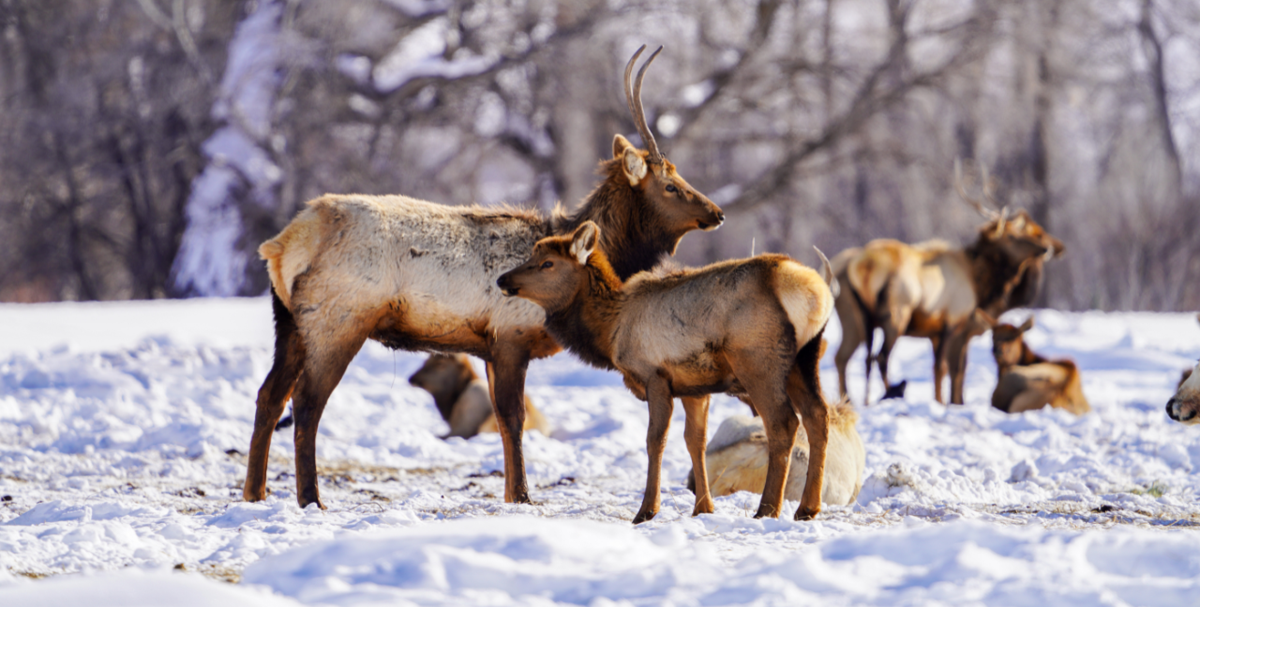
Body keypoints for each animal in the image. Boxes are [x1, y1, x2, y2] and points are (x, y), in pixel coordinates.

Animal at [496, 222, 837, 523]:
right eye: (532, 257)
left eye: (547, 263)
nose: (502, 279)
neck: (609, 332)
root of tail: (816, 292)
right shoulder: (694, 388)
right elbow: (695, 442)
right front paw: (703, 508)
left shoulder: (655, 377)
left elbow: (654, 441)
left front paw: (647, 510)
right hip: (805, 359)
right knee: (819, 415)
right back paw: (807, 508)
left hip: (758, 361)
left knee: (783, 422)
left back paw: (767, 509)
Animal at [833, 163, 1066, 406]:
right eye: (1013, 235)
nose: (1050, 248)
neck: (980, 285)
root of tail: (863, 267)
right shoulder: (952, 323)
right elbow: (946, 369)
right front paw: (943, 402)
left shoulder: (938, 331)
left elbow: (949, 369)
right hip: (895, 315)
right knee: (879, 357)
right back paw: (890, 393)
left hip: (862, 319)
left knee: (856, 357)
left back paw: (860, 400)